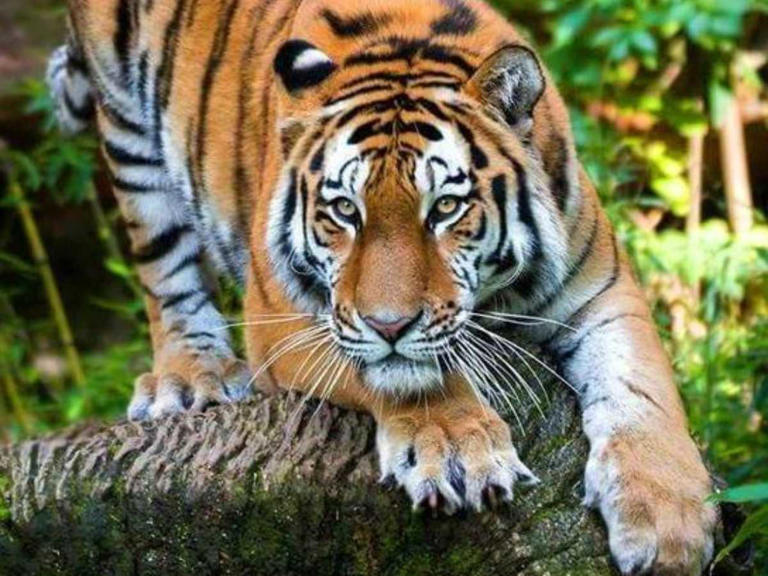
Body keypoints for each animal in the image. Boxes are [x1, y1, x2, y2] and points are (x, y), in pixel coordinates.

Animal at [48, 0, 717, 573]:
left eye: (445, 207)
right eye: (344, 210)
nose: (389, 324)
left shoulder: (605, 292)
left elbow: (645, 394)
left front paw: (669, 523)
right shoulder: (283, 321)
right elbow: (412, 379)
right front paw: (457, 449)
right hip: (129, 137)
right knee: (165, 273)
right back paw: (191, 377)